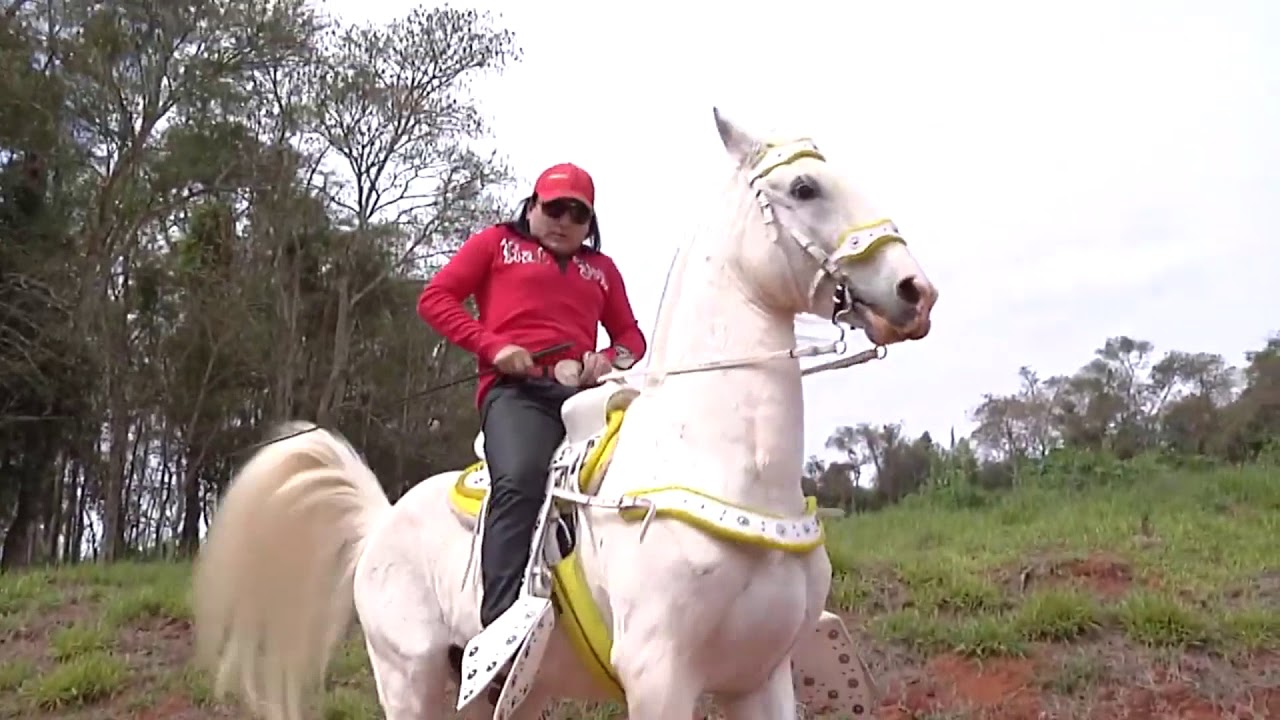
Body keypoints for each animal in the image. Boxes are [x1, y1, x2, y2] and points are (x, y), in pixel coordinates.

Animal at [191, 107, 937, 720]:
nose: (916, 292)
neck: (724, 467)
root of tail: (381, 522)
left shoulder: (762, 677)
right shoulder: (659, 676)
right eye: (805, 188)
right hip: (408, 683)